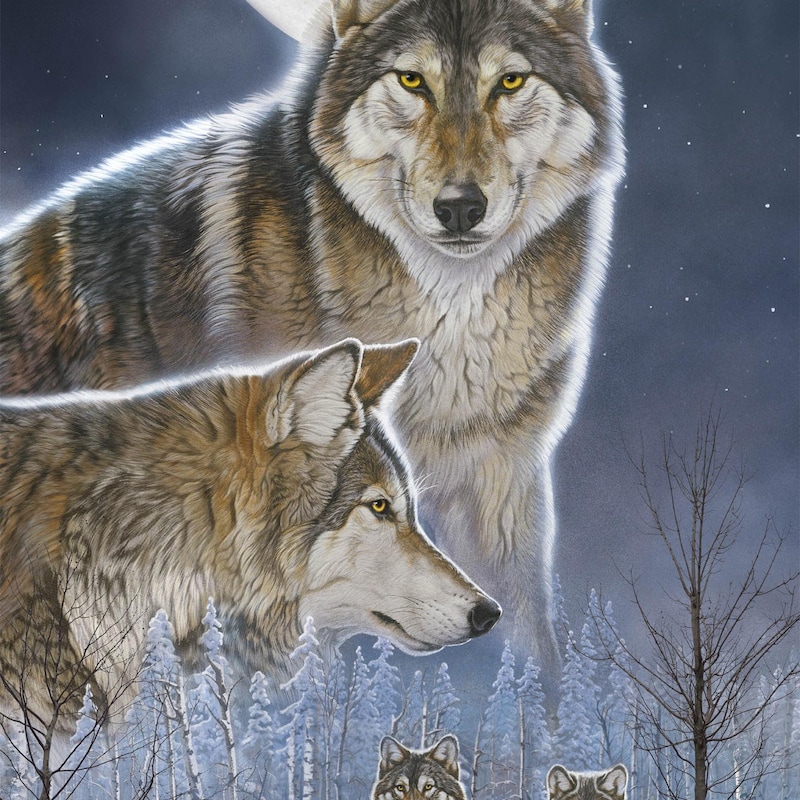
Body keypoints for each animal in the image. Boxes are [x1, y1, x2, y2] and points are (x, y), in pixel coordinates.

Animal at [0, 0, 624, 675]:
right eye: (412, 81)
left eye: (510, 81)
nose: (460, 207)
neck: (449, 314)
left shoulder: (501, 481)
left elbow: (536, 650)